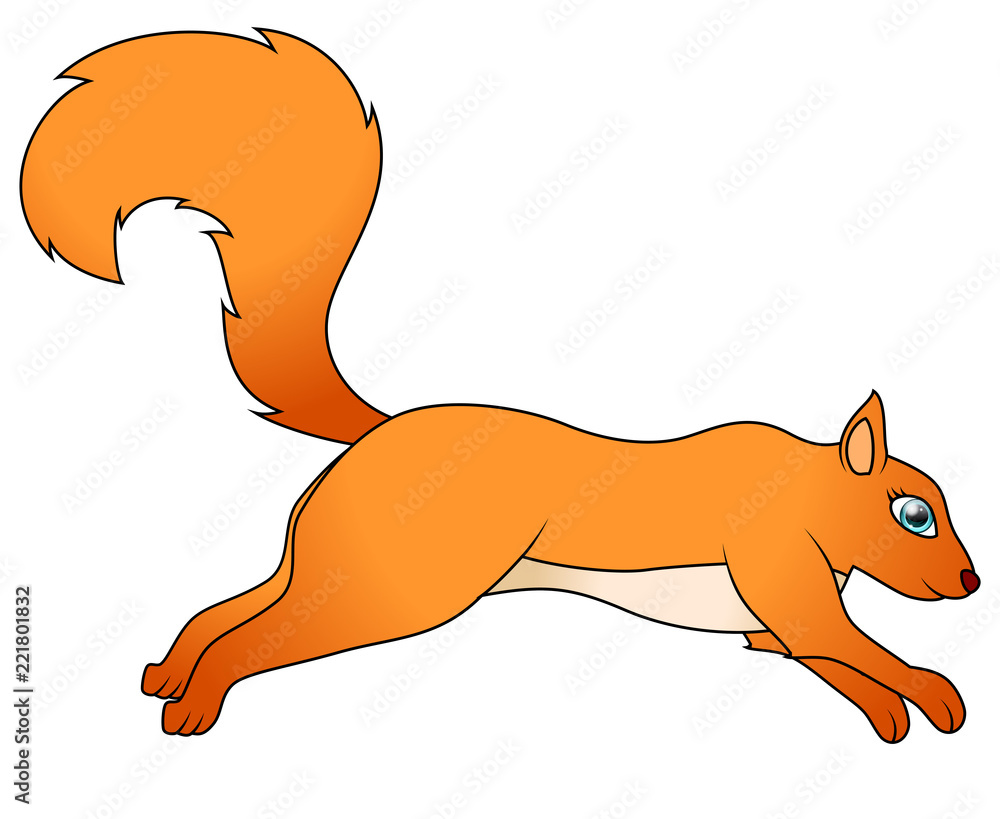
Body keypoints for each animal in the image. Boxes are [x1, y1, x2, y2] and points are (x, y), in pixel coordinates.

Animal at [20, 29, 980, 740]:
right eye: (913, 512)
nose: (972, 583)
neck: (812, 489)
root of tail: (379, 430)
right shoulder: (778, 567)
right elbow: (856, 644)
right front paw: (932, 694)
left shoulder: (766, 623)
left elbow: (827, 656)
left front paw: (889, 713)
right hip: (392, 590)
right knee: (259, 633)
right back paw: (196, 703)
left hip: (323, 566)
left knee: (233, 607)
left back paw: (165, 672)